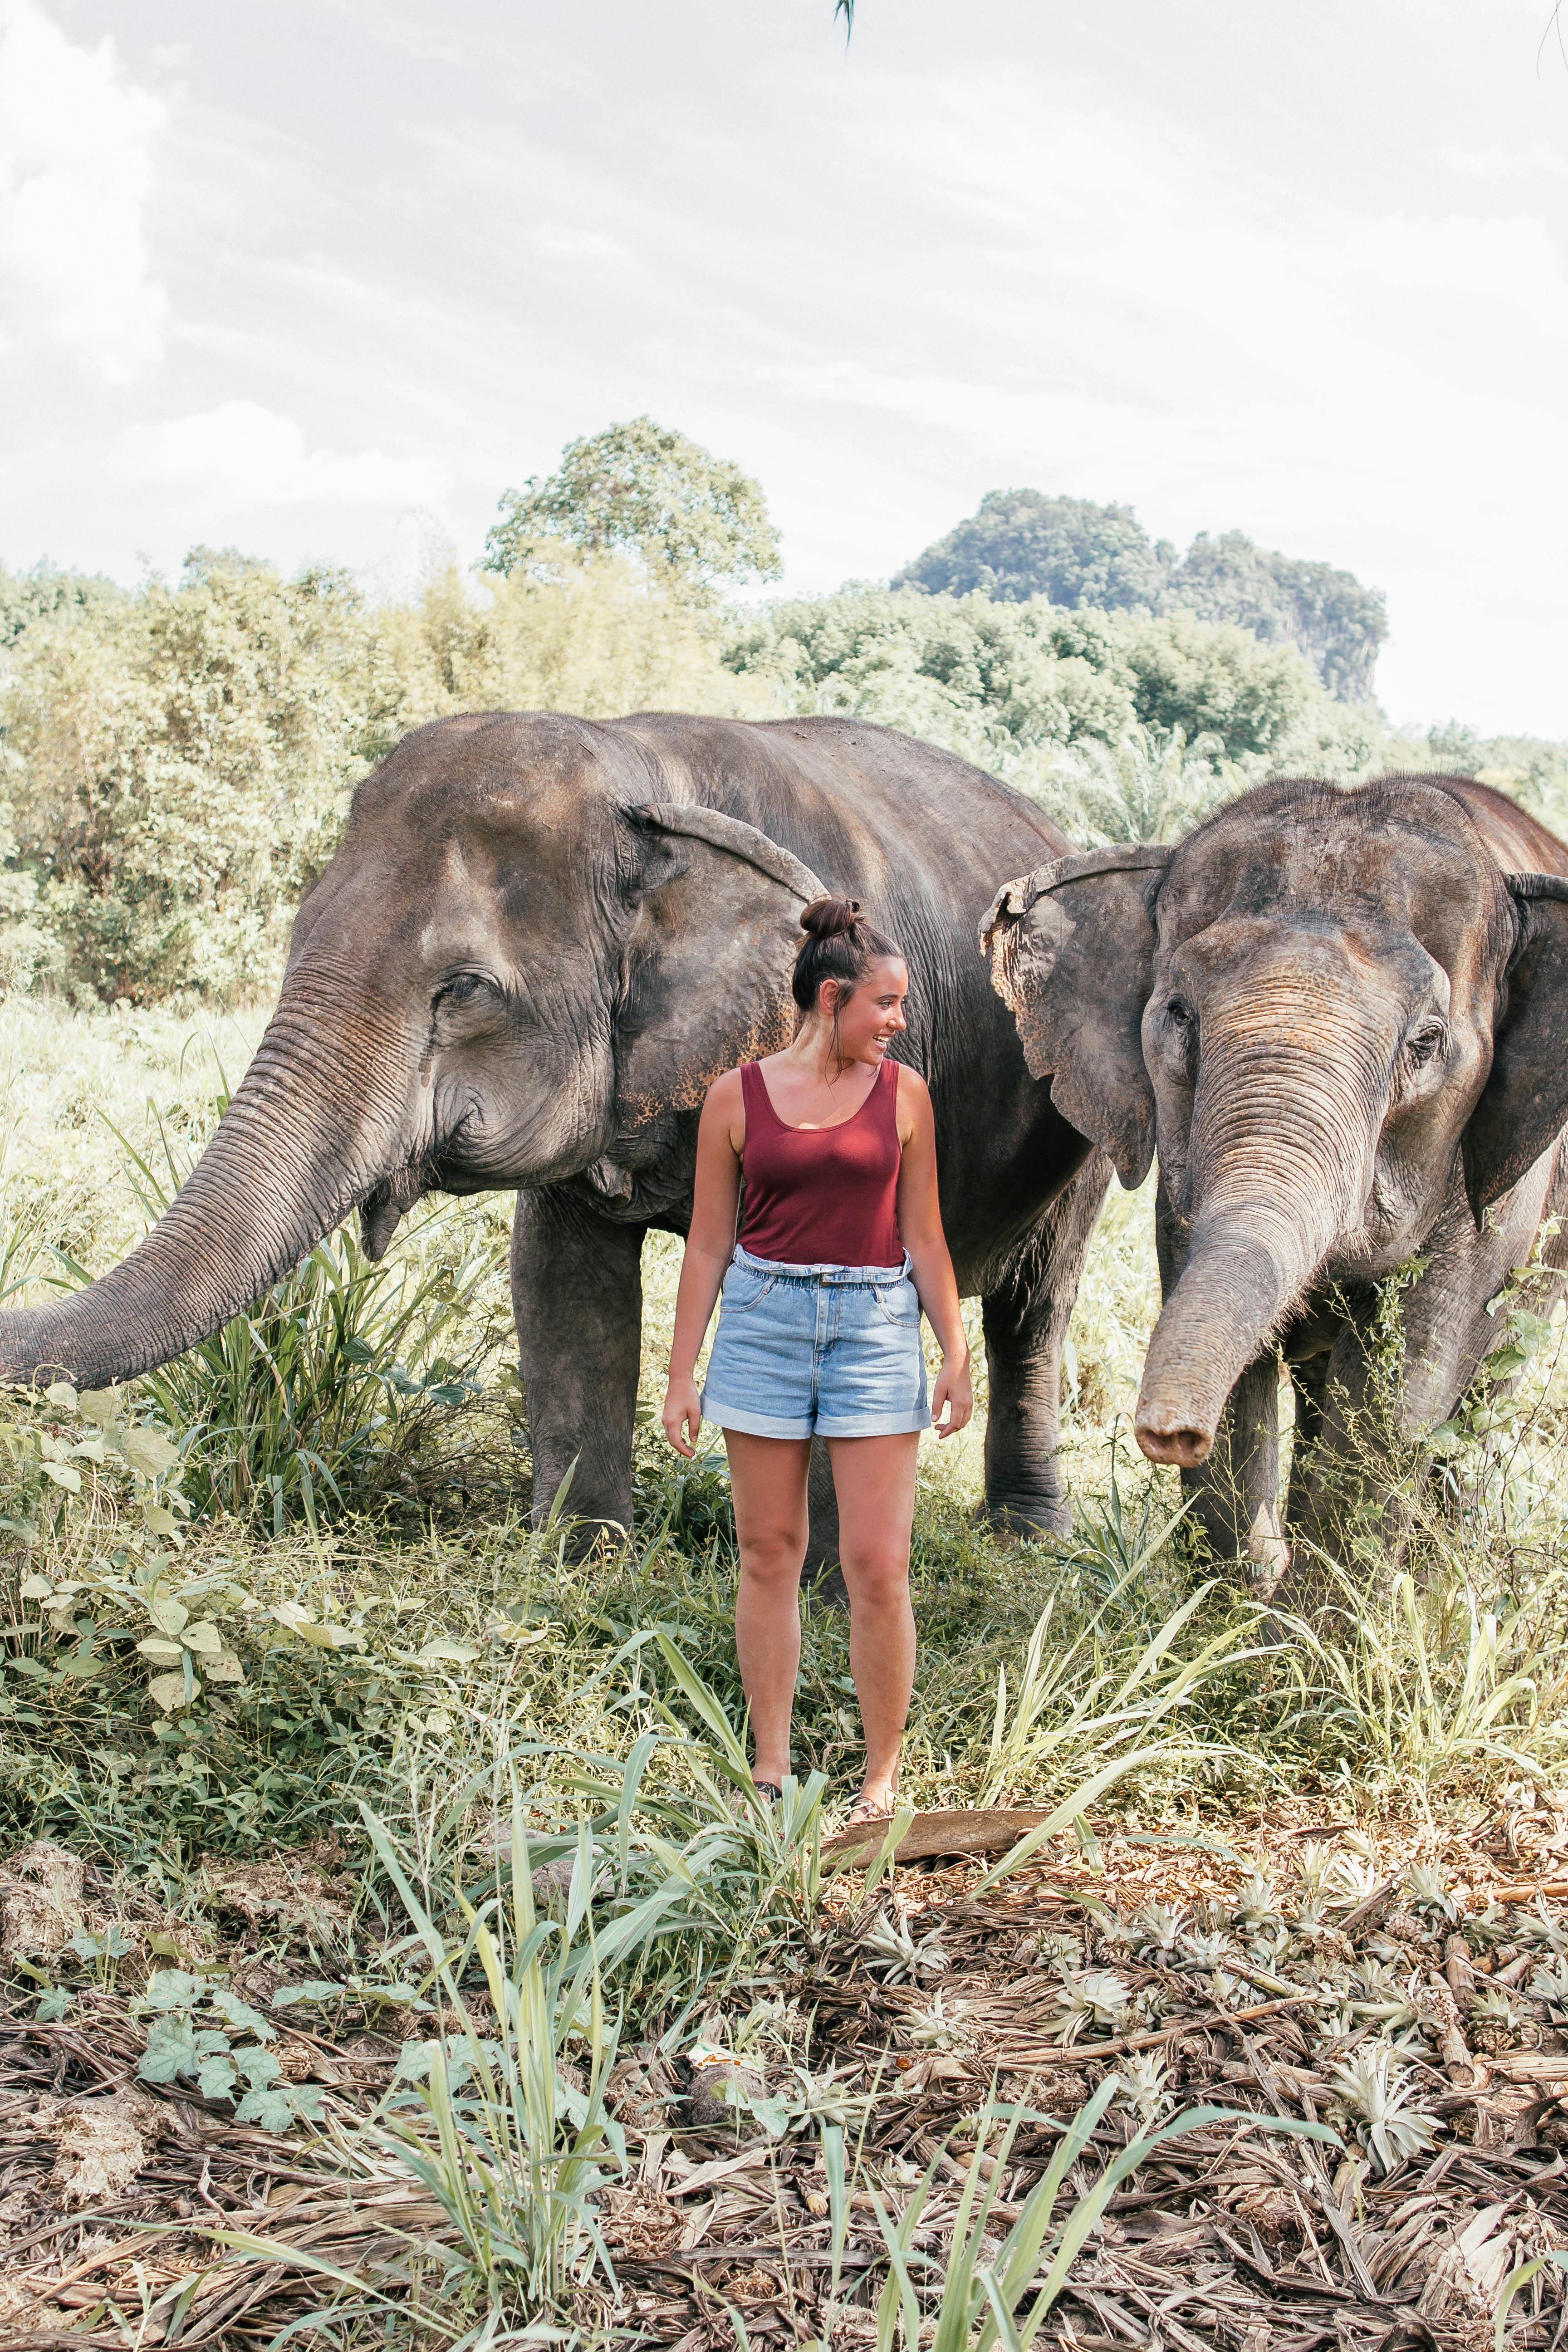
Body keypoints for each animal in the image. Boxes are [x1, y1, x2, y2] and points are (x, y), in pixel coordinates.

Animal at [1, 709, 1113, 1557]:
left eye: (464, 988)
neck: (647, 775)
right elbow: (562, 1284)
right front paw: (582, 1560)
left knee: (1035, 1312)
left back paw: (1028, 1535)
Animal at [982, 771, 1568, 1579]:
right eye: (1178, 1014)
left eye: (1425, 1044)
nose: (1167, 1433)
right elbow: (1237, 1354)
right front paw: (1243, 1605)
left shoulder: (1495, 1189)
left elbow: (1403, 1385)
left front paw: (1317, 1612)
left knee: (1481, 1396)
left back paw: (1438, 1560)